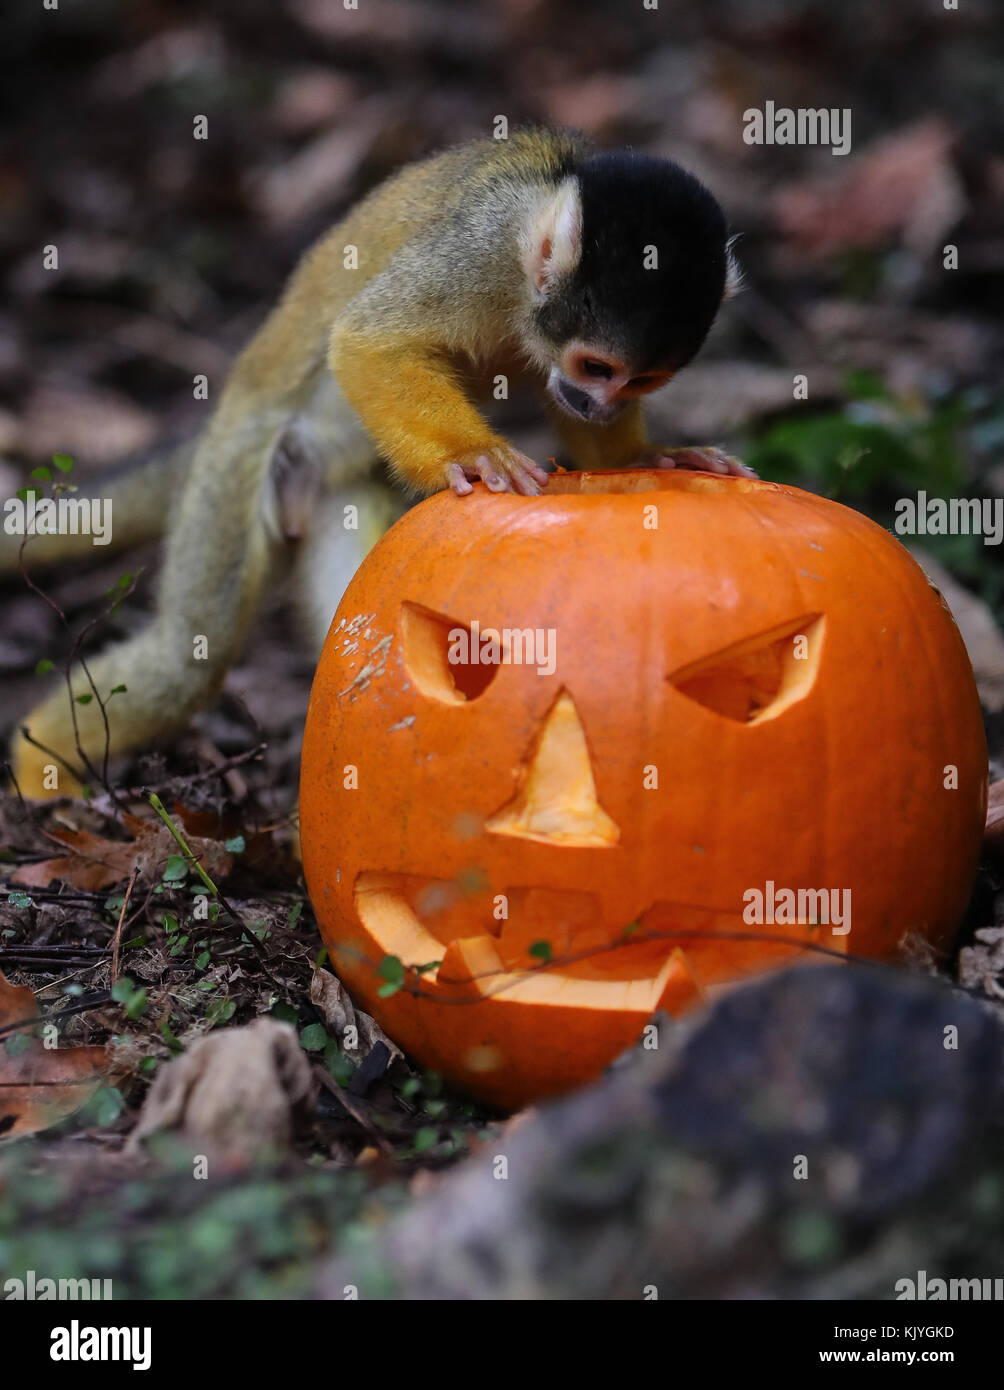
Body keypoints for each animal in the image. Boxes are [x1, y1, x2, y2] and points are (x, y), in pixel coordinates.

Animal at [2, 128, 747, 798]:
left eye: (637, 383)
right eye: (596, 368)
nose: (599, 405)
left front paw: (642, 454)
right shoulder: (479, 252)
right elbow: (368, 341)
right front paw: (473, 455)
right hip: (237, 461)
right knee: (184, 662)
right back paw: (42, 778)